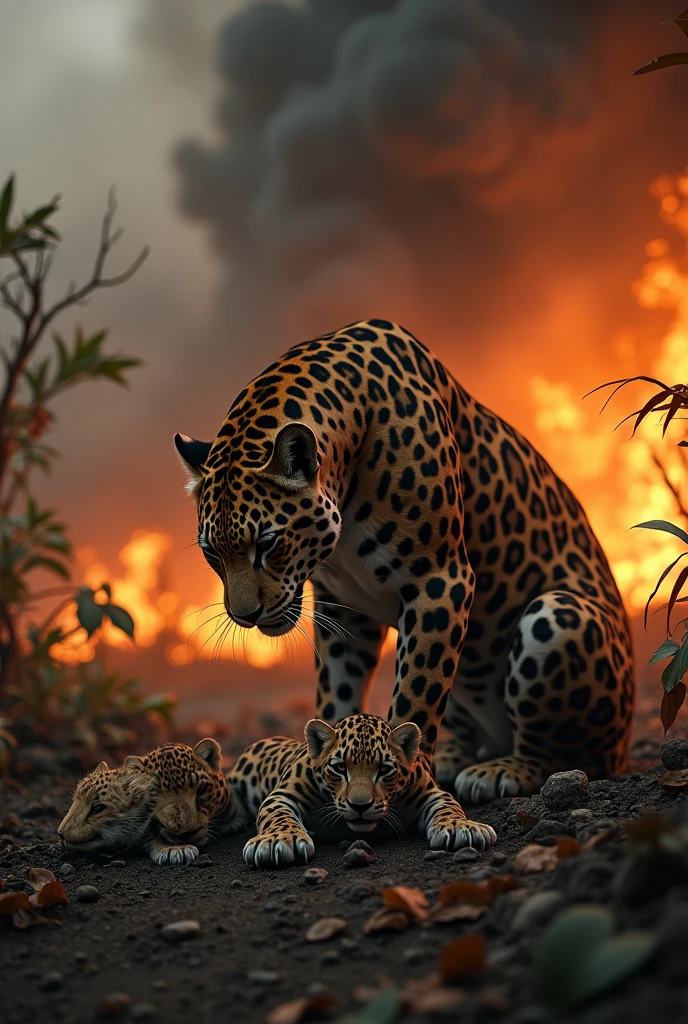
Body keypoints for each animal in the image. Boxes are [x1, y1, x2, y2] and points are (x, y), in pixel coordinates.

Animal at [174, 319, 634, 803]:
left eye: (267, 542)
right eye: (211, 553)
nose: (245, 616)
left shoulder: (439, 581)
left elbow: (417, 692)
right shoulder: (343, 608)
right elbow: (337, 691)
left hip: (557, 617)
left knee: (560, 754)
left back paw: (500, 771)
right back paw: (457, 757)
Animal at [225, 713, 496, 869]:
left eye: (385, 770)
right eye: (339, 768)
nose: (360, 806)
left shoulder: (434, 794)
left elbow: (450, 808)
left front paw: (461, 827)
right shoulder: (283, 795)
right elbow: (277, 816)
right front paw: (277, 840)